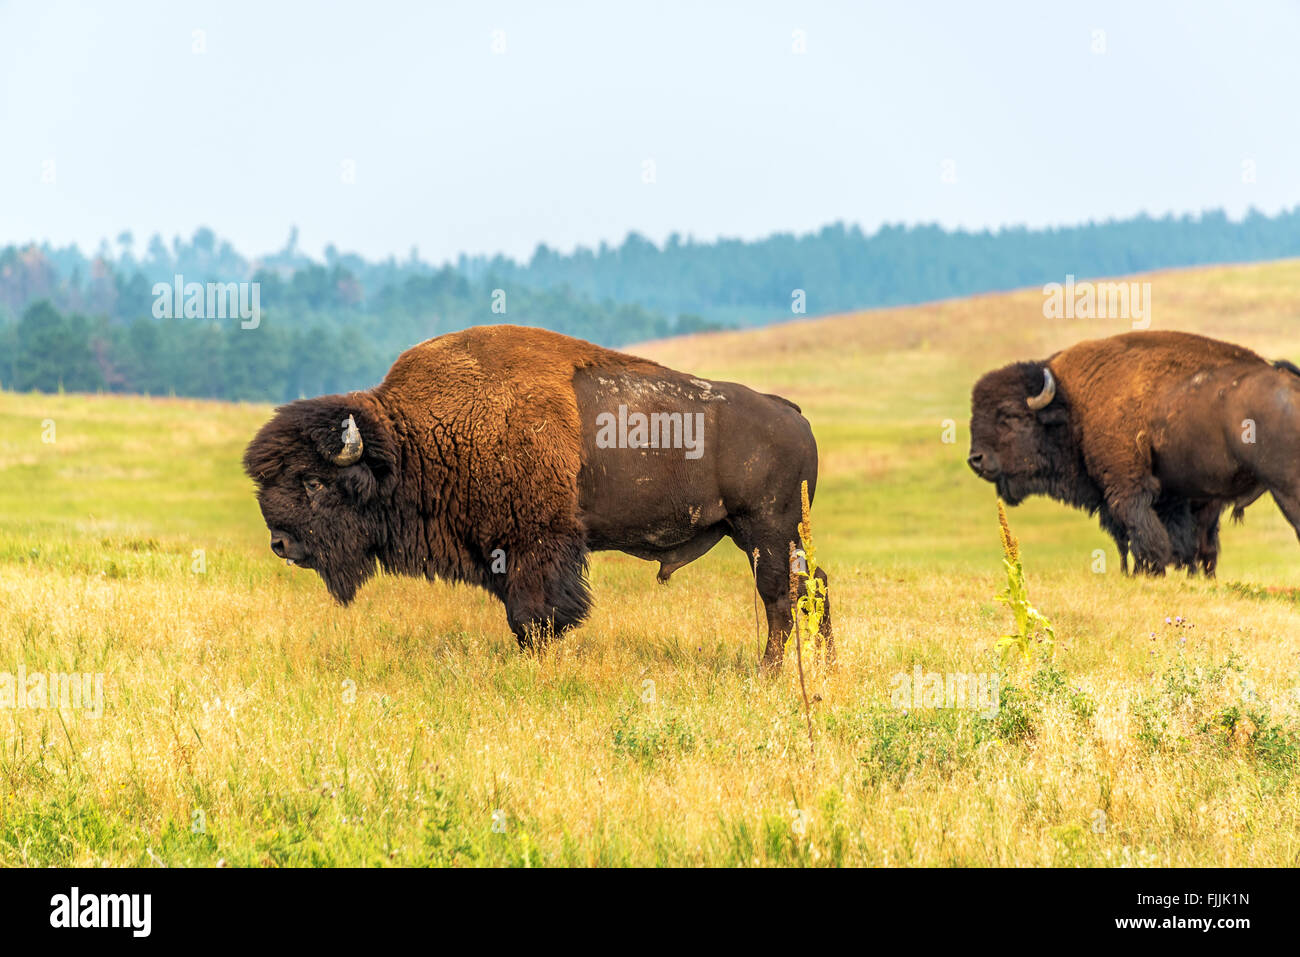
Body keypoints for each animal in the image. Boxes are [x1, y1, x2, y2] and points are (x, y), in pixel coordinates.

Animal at [244, 324, 831, 666]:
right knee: (812, 584)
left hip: (764, 530)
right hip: (771, 534)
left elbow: (534, 613)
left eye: (313, 482)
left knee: (780, 595)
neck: (413, 439)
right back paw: (820, 665)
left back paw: (768, 672)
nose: (280, 543)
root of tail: (792, 413)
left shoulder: (537, 544)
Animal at [968, 331, 1299, 574]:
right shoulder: (1173, 495)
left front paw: (1150, 571)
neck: (1074, 404)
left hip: (1286, 488)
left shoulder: (1127, 485)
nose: (976, 459)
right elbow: (1173, 540)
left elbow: (1143, 531)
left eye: (1009, 415)